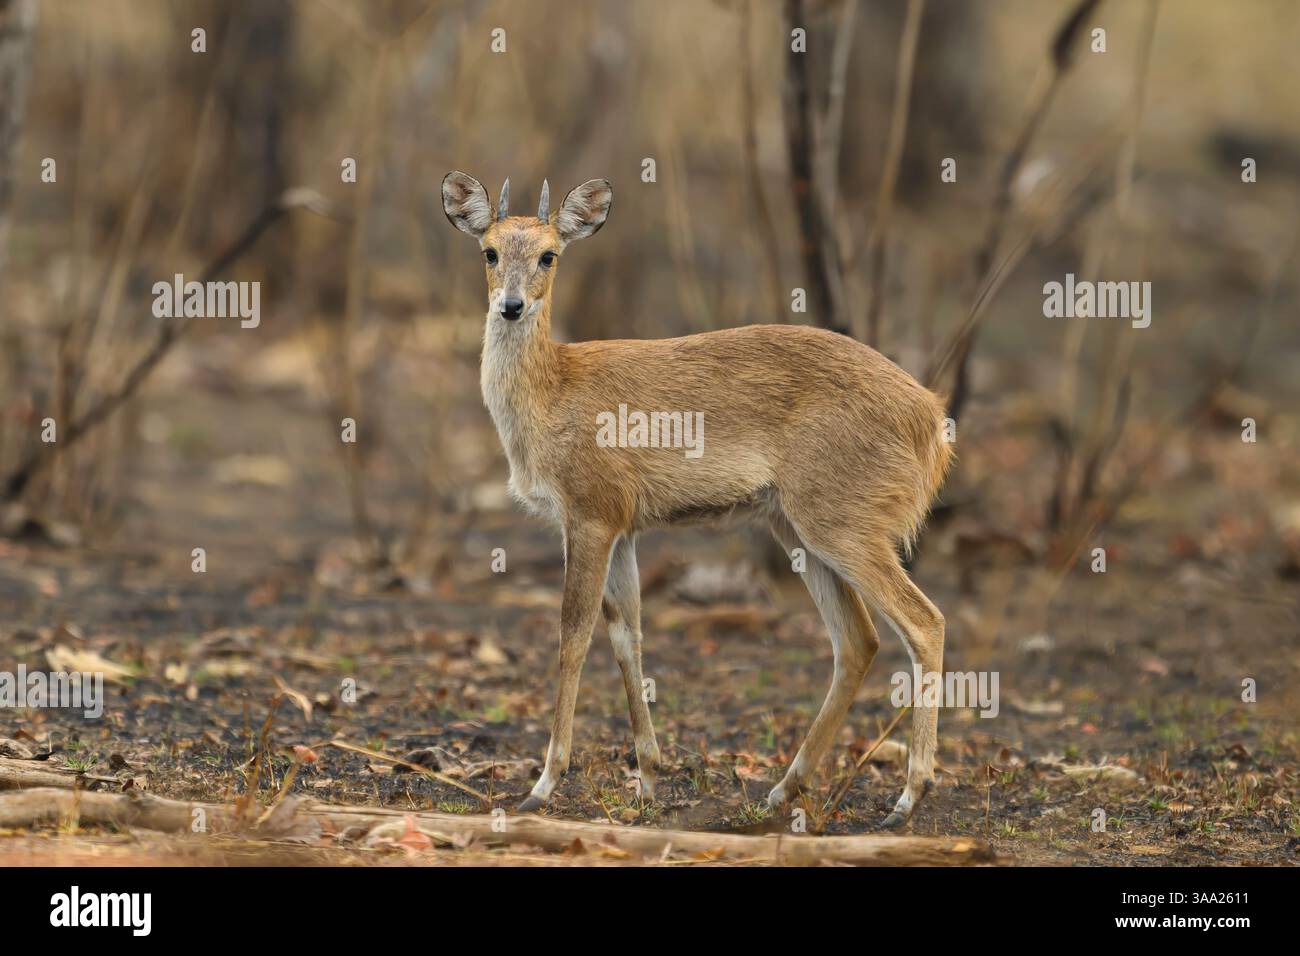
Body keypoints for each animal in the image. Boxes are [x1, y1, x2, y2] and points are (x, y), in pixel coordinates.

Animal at [442, 171, 953, 828]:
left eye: (549, 254)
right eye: (489, 251)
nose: (510, 305)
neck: (552, 393)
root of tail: (933, 421)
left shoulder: (590, 512)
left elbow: (572, 636)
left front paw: (544, 783)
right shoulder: (624, 526)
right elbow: (628, 635)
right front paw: (648, 778)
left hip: (842, 521)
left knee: (925, 621)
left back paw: (907, 797)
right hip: (796, 525)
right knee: (858, 639)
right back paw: (783, 789)